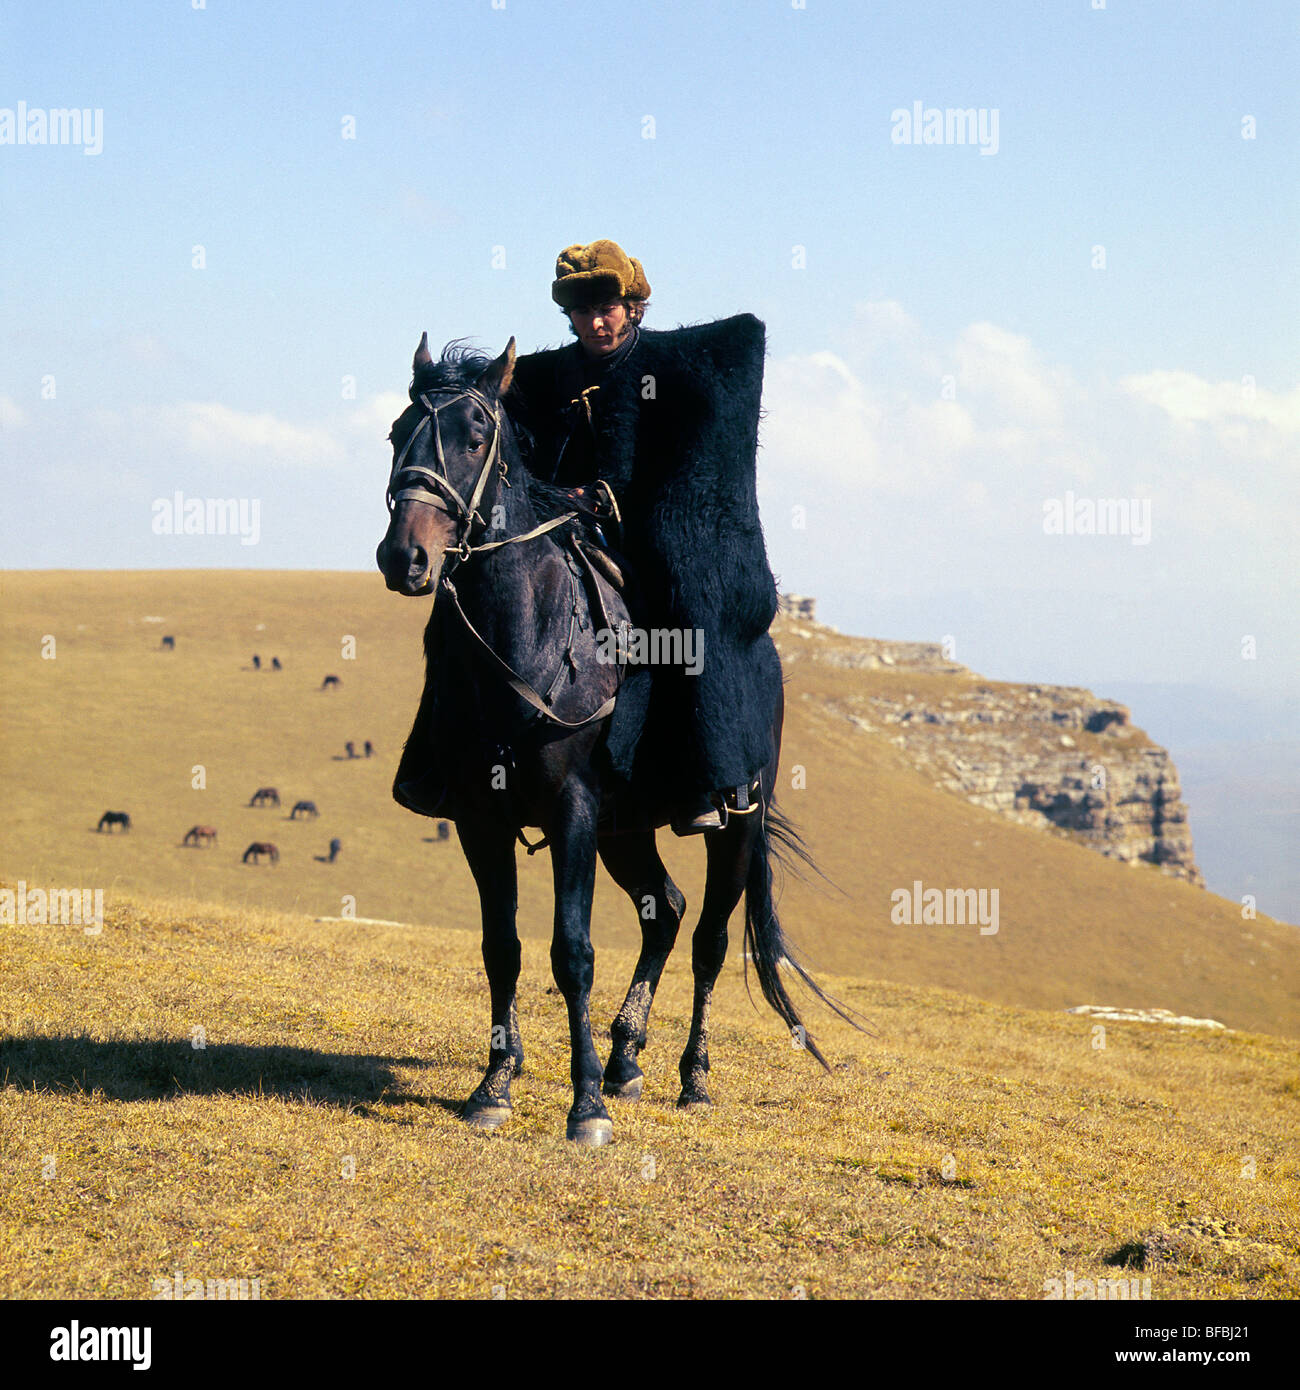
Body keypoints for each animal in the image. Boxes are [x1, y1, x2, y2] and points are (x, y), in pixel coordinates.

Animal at [376, 335, 859, 1147]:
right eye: (395, 433)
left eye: (475, 437)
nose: (404, 559)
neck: (531, 633)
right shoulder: (480, 817)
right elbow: (501, 948)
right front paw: (494, 1086)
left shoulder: (571, 811)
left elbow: (571, 953)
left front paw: (585, 1110)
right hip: (625, 828)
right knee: (664, 909)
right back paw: (626, 1057)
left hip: (734, 818)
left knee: (710, 939)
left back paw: (691, 1079)